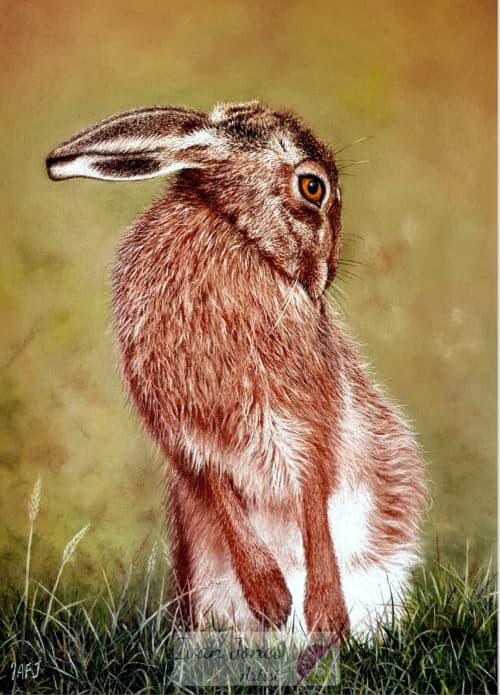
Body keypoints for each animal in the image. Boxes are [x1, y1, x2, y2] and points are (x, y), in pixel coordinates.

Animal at [46, 100, 425, 639]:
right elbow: (223, 495)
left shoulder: (306, 418)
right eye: (313, 187)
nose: (326, 274)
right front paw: (272, 600)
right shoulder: (189, 438)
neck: (233, 229)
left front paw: (323, 613)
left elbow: (312, 496)